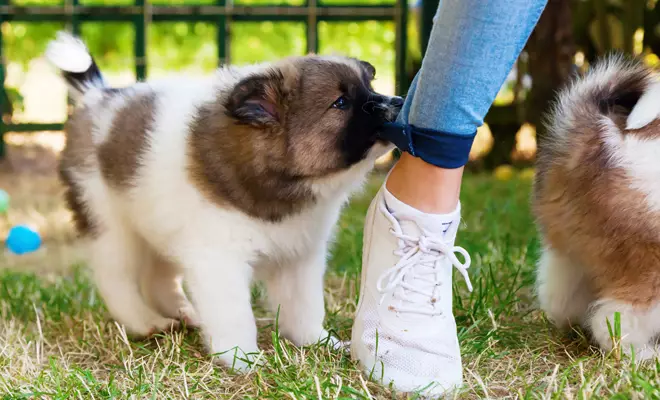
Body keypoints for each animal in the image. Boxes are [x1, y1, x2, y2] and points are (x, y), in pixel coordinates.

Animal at [45, 32, 402, 372]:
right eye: (341, 102)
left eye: (369, 86)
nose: (398, 101)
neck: (279, 184)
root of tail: (97, 96)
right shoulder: (218, 260)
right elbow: (234, 313)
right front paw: (242, 358)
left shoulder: (297, 258)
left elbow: (304, 306)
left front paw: (316, 341)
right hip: (111, 225)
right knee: (115, 279)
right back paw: (145, 322)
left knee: (157, 278)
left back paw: (184, 312)